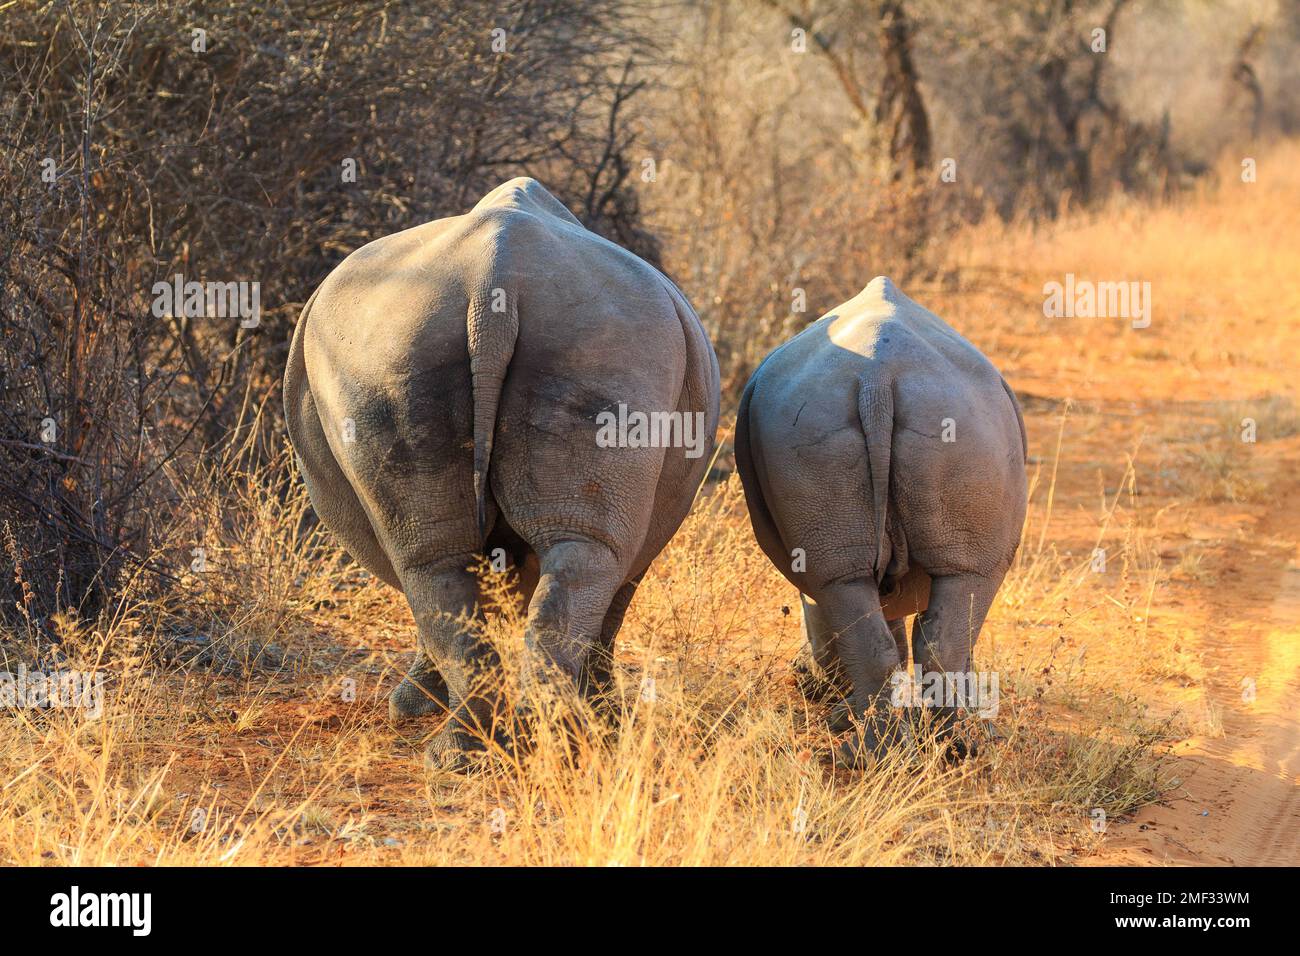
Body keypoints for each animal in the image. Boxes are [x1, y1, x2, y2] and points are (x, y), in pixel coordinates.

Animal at [284, 178, 720, 770]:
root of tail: (495, 279)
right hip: (452, 343)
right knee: (464, 556)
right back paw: (519, 744)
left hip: (435, 343)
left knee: (442, 557)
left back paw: (496, 748)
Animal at [734, 277, 1027, 762]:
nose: (802, 681)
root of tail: (878, 377)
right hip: (944, 416)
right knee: (949, 587)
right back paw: (931, 749)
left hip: (922, 417)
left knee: (860, 586)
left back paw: (912, 750)